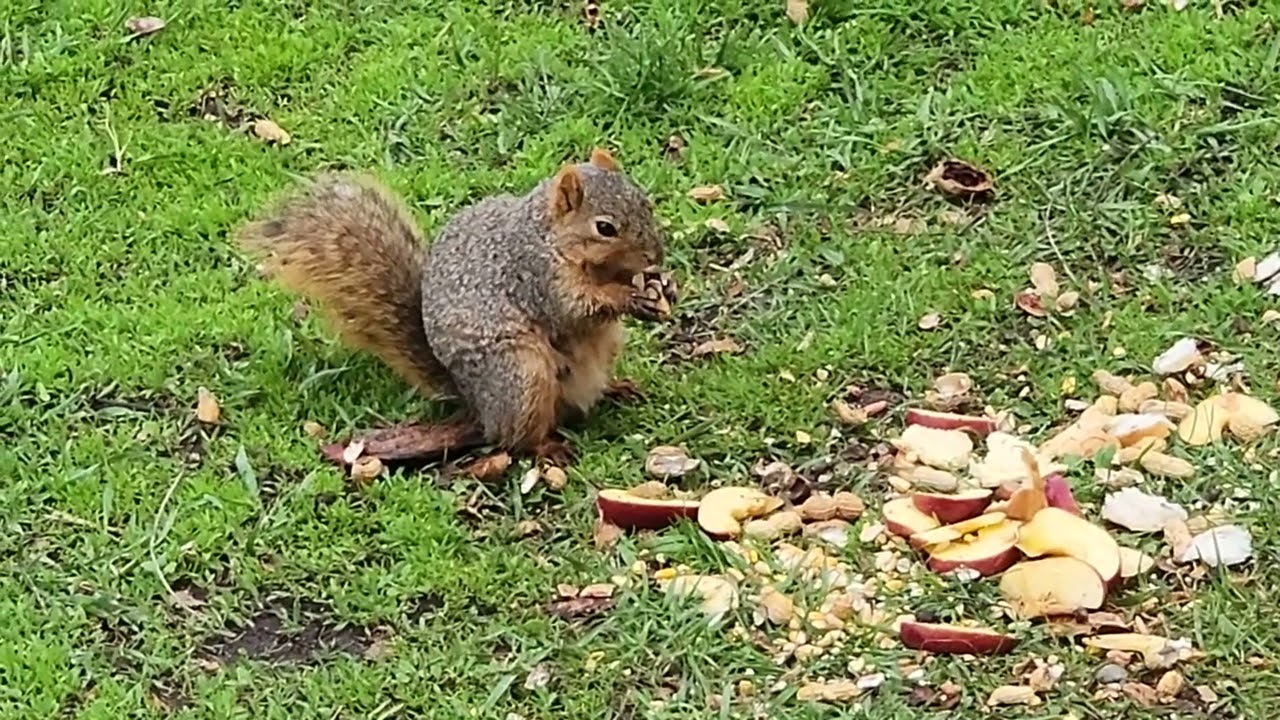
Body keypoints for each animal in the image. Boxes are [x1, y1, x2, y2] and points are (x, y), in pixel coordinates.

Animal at [236, 148, 672, 463]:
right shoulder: (536, 276)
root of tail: (474, 403)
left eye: (645, 203)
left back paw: (617, 388)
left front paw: (660, 286)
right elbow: (574, 307)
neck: (549, 236)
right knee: (513, 438)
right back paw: (547, 447)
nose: (656, 255)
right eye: (605, 228)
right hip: (522, 376)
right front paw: (627, 296)